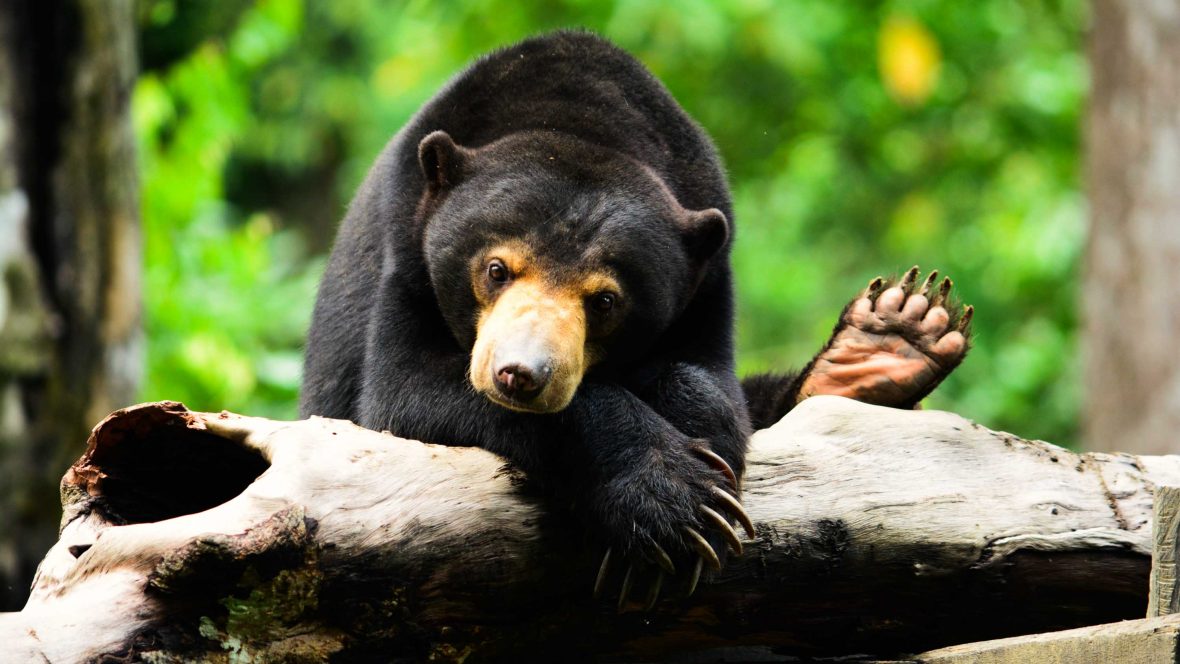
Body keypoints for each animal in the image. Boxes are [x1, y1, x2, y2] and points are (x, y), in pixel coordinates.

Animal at [301, 30, 971, 608]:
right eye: (495, 269)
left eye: (605, 300)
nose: (521, 375)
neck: (574, 122)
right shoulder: (408, 258)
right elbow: (406, 391)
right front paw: (673, 506)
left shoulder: (709, 276)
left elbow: (706, 381)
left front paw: (693, 508)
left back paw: (894, 338)